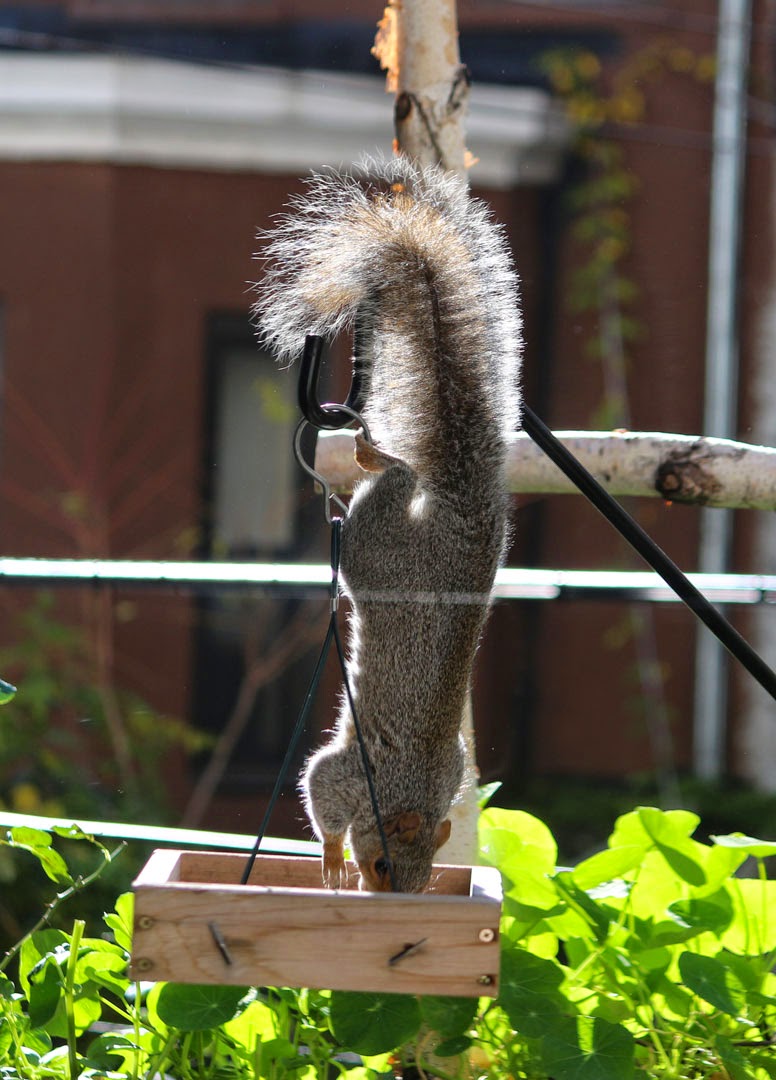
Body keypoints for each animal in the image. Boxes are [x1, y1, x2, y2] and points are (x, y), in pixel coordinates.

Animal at [252, 156, 523, 893]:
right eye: (379, 862)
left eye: (425, 879)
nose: (386, 895)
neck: (412, 788)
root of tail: (468, 518)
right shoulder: (347, 775)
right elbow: (321, 793)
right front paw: (331, 858)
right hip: (375, 548)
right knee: (395, 482)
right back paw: (376, 455)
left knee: (401, 478)